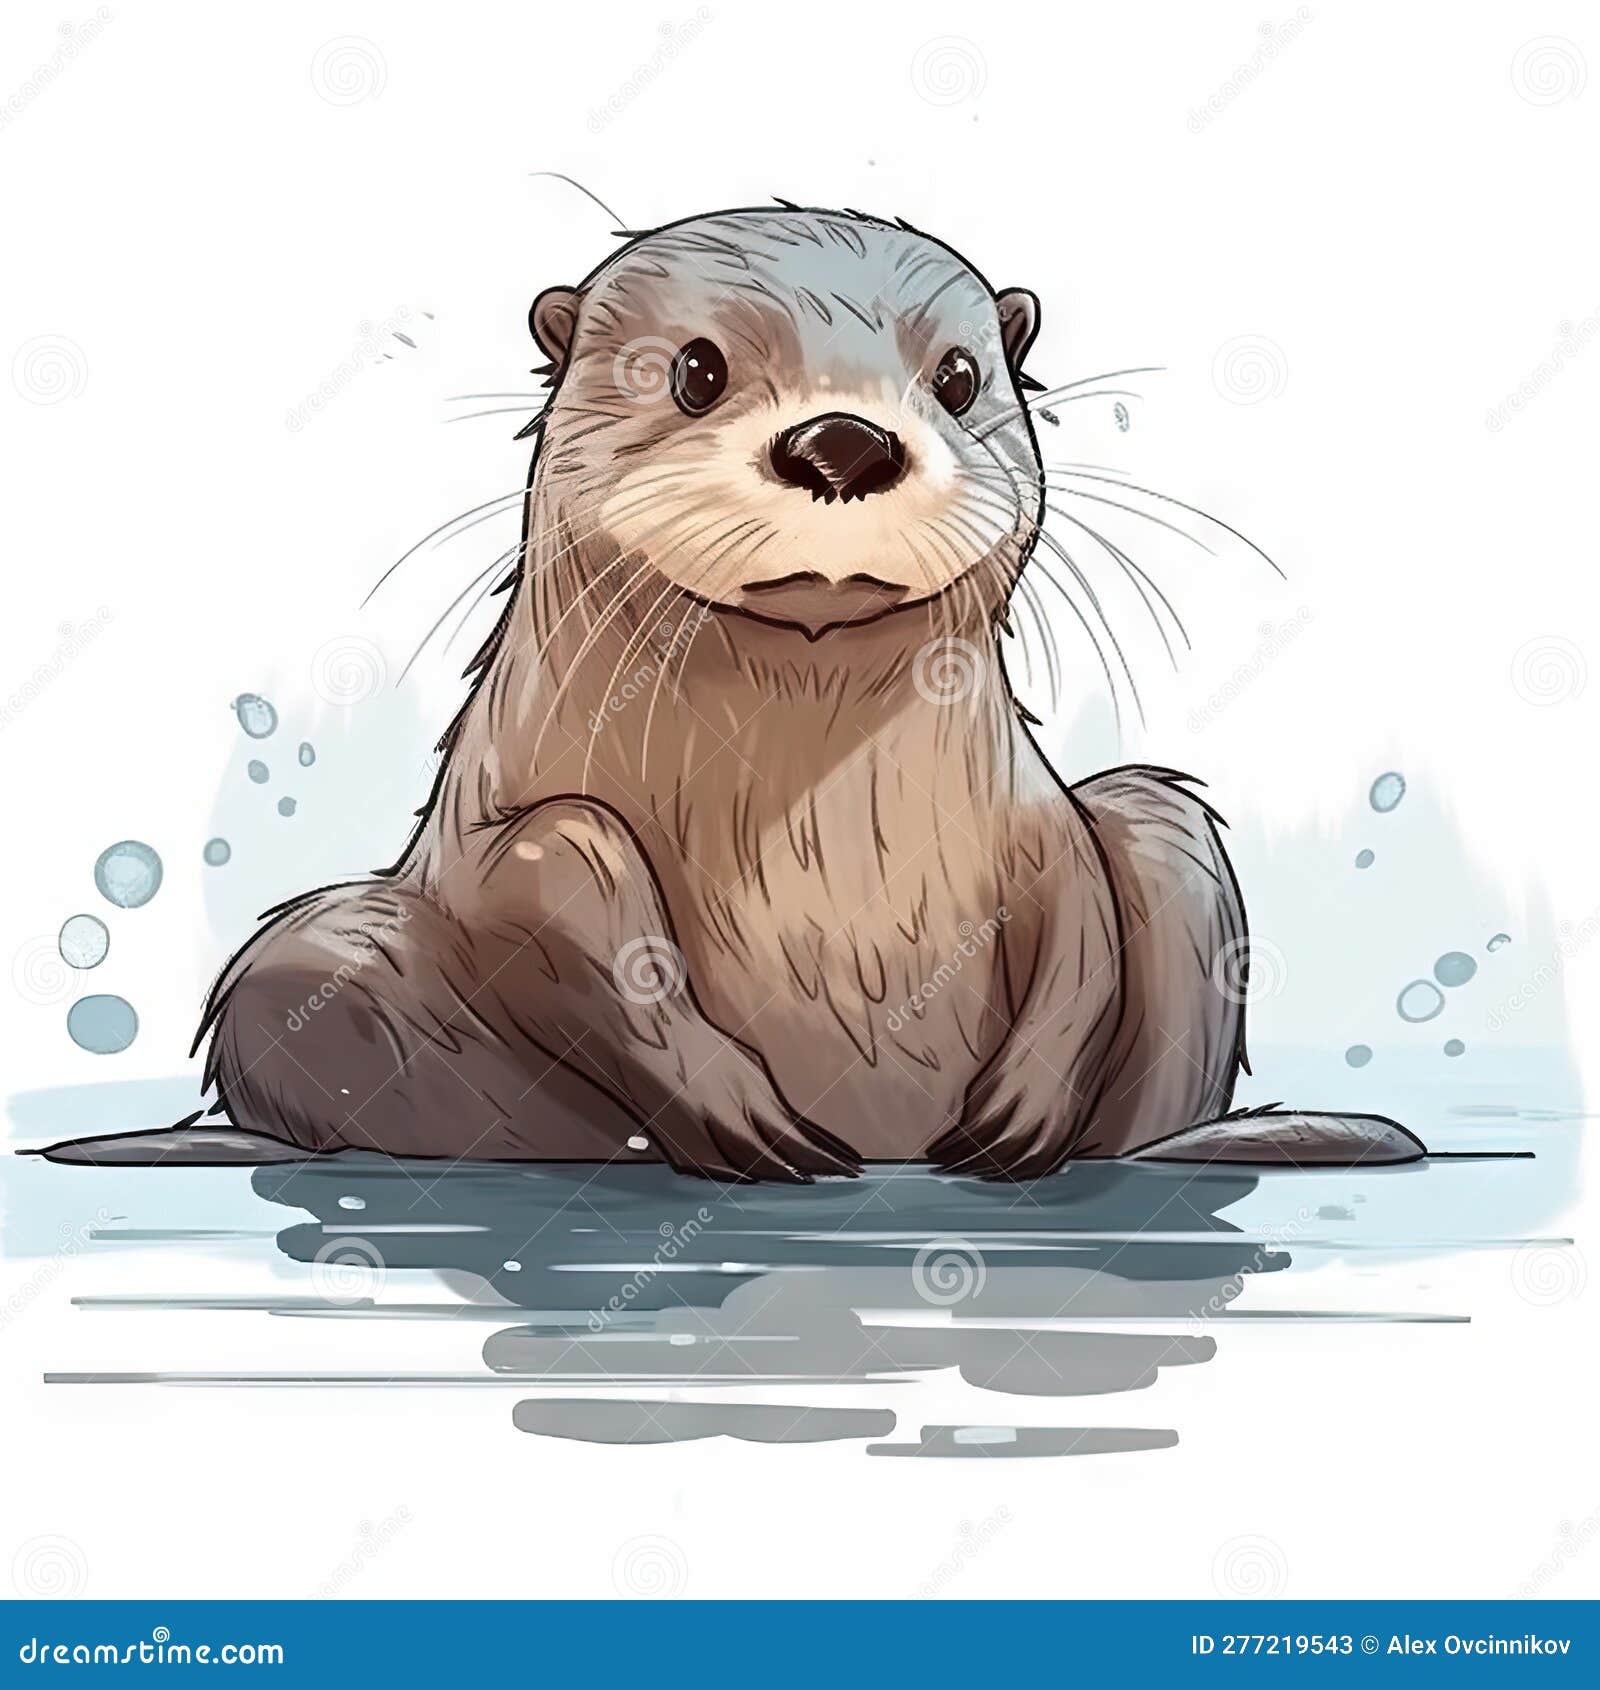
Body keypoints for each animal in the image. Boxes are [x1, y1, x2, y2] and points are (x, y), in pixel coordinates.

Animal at [195, 205, 1419, 1181]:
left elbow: (1079, 898)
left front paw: (1022, 1111)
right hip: (306, 960)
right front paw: (735, 1108)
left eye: (959, 377)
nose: (843, 441)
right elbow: (557, 859)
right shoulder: (494, 823)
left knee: (1148, 833)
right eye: (695, 370)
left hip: (1174, 844)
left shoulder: (1029, 811)